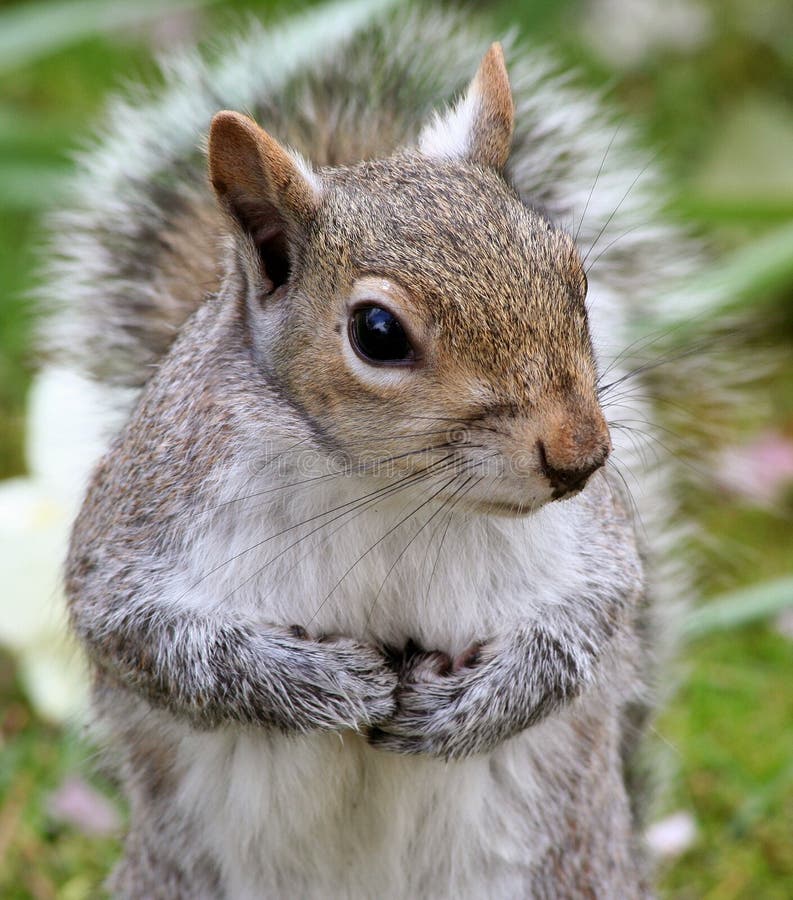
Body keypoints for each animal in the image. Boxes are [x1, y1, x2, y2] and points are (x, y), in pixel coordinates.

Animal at [44, 0, 707, 897]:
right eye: (378, 333)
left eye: (574, 275)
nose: (580, 457)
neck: (387, 491)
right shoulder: (148, 522)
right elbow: (144, 636)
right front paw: (318, 685)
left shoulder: (587, 551)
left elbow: (586, 624)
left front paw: (468, 709)